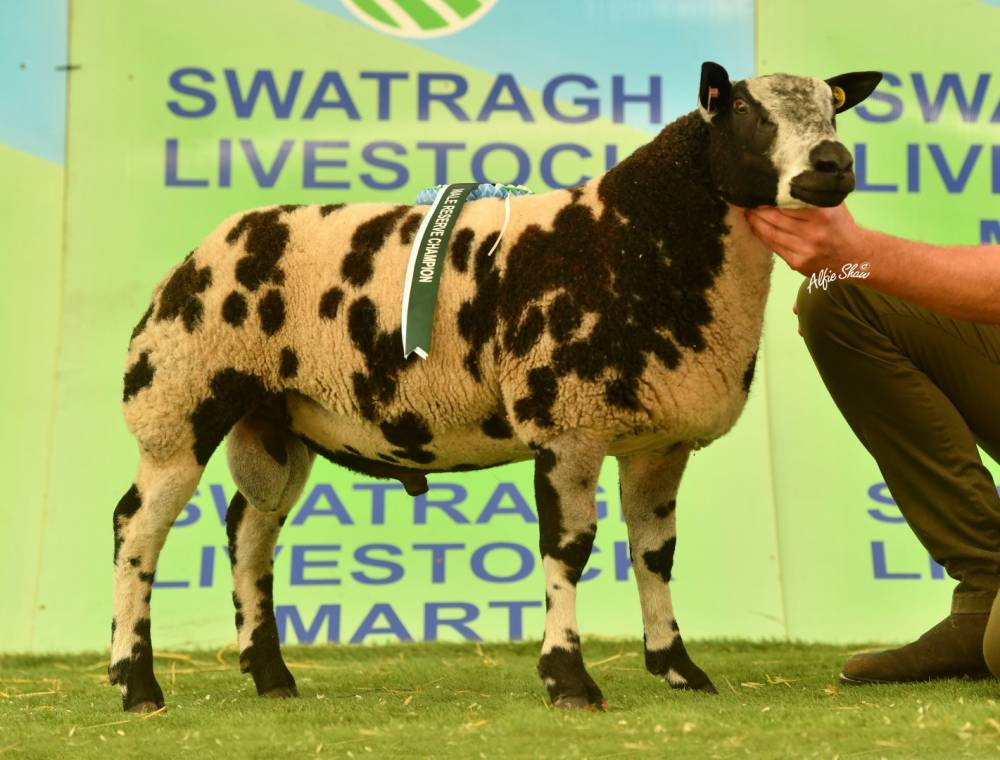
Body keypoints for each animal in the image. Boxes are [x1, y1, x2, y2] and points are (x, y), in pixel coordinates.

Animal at [112, 62, 882, 712]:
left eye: (833, 111)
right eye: (747, 112)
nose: (833, 166)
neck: (634, 237)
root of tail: (212, 245)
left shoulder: (659, 440)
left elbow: (654, 553)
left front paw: (678, 669)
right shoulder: (567, 422)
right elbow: (569, 548)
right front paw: (569, 680)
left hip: (275, 424)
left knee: (249, 532)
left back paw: (271, 676)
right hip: (179, 398)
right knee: (136, 528)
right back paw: (136, 682)